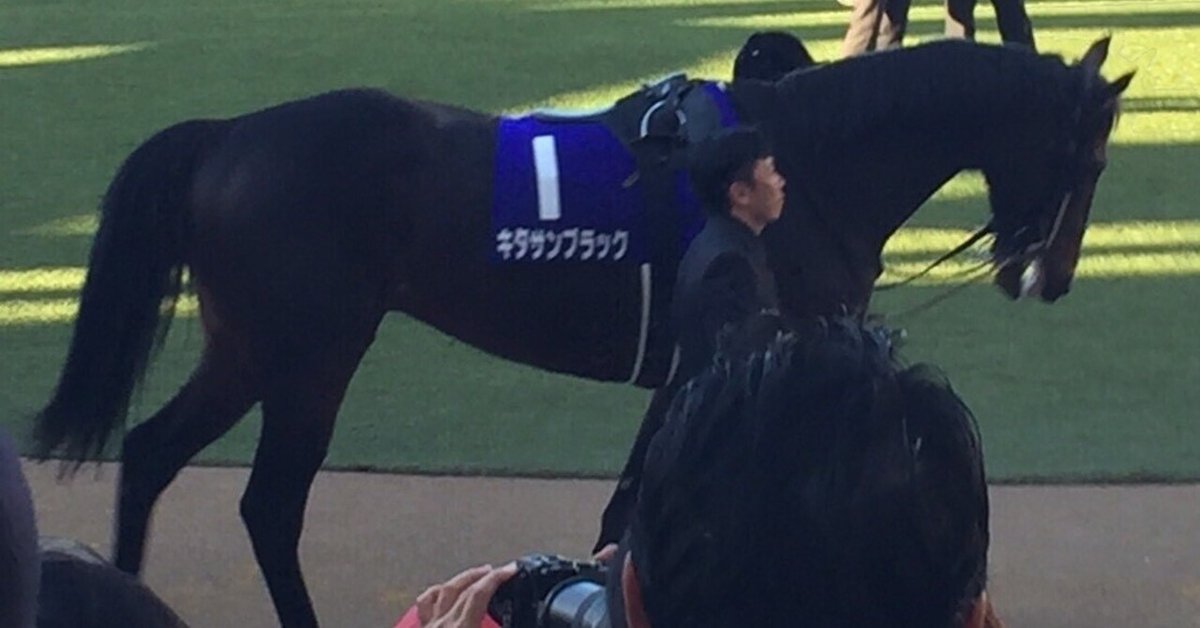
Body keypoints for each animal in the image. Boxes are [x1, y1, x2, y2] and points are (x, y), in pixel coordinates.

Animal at [31, 38, 1129, 627]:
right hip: (310, 354)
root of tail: (227, 135)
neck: (806, 161)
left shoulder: (697, 372)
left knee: (152, 452)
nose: (1049, 275)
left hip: (250, 347)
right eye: (1090, 158)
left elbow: (628, 501)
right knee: (266, 503)